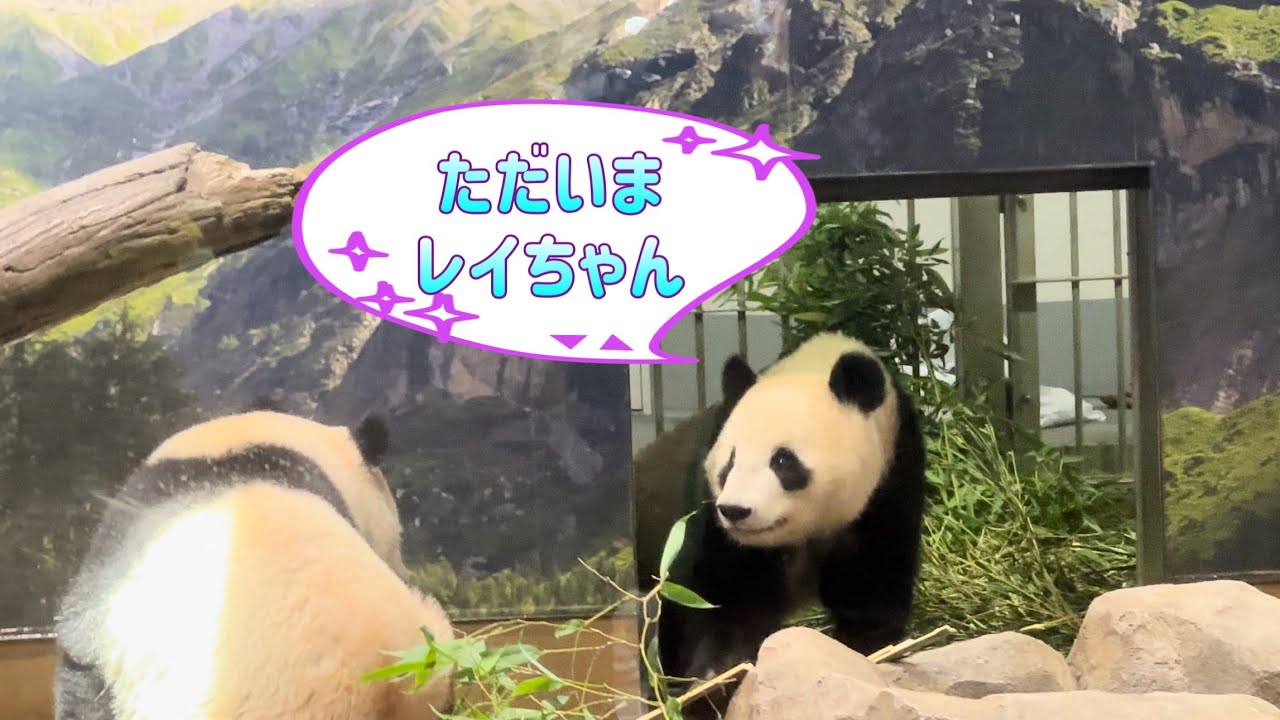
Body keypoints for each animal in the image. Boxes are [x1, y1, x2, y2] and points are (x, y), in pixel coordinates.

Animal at [635, 332, 927, 707]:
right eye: (729, 461)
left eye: (783, 461)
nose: (735, 510)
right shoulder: (711, 515)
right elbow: (725, 596)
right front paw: (715, 676)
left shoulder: (889, 480)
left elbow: (871, 583)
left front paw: (860, 647)